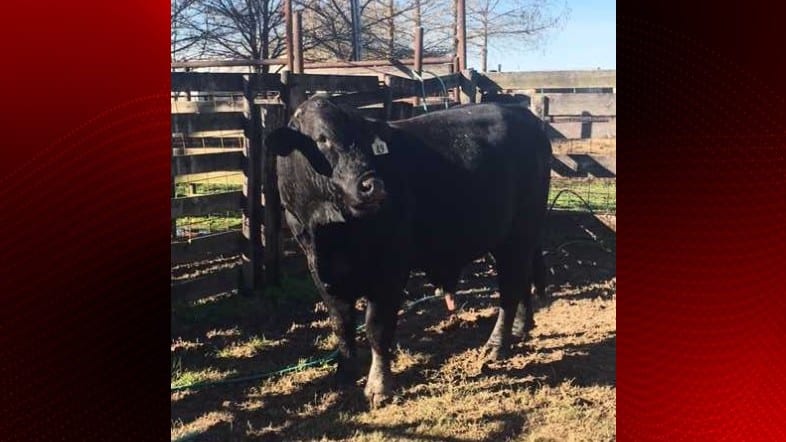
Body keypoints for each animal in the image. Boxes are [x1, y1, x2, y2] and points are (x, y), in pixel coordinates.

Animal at [265, 96, 552, 407]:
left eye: (367, 141)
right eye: (321, 138)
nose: (372, 186)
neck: (333, 231)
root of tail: (525, 115)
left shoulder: (390, 269)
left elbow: (376, 327)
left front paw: (379, 386)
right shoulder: (321, 271)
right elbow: (341, 324)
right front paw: (344, 374)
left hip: (520, 233)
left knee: (510, 289)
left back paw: (497, 345)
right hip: (512, 240)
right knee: (522, 279)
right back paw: (521, 328)